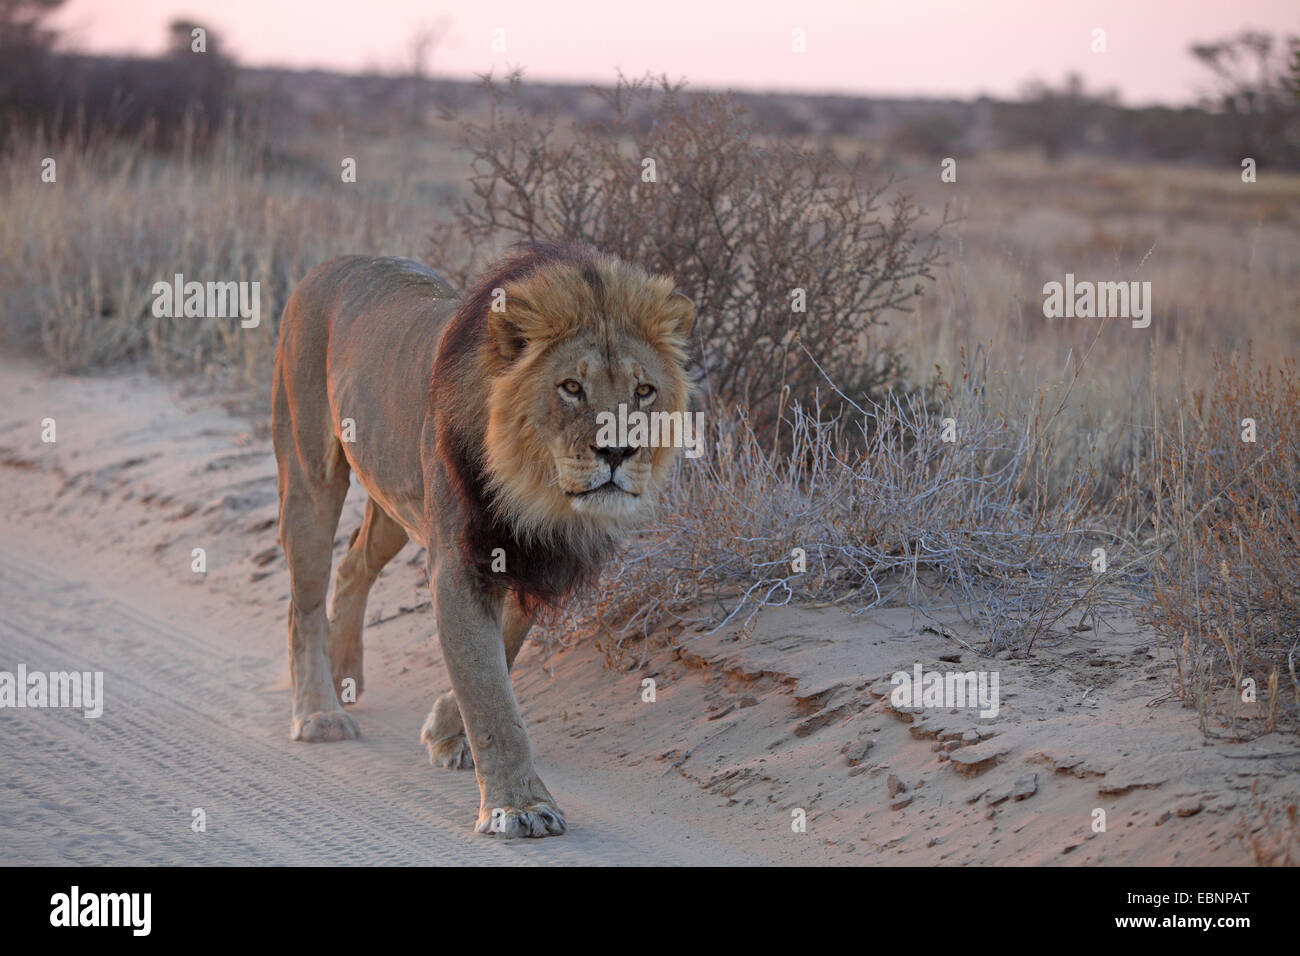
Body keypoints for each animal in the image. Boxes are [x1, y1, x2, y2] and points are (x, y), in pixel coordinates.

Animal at [271, 242, 694, 838]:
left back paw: (343, 673)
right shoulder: (459, 561)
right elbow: (488, 688)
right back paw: (319, 712)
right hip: (311, 475)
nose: (617, 451)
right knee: (302, 601)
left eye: (644, 391)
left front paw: (447, 730)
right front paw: (519, 806)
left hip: (396, 500)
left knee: (354, 563)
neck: (538, 495)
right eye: (571, 387)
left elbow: (503, 653)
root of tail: (329, 264)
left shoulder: (536, 561)